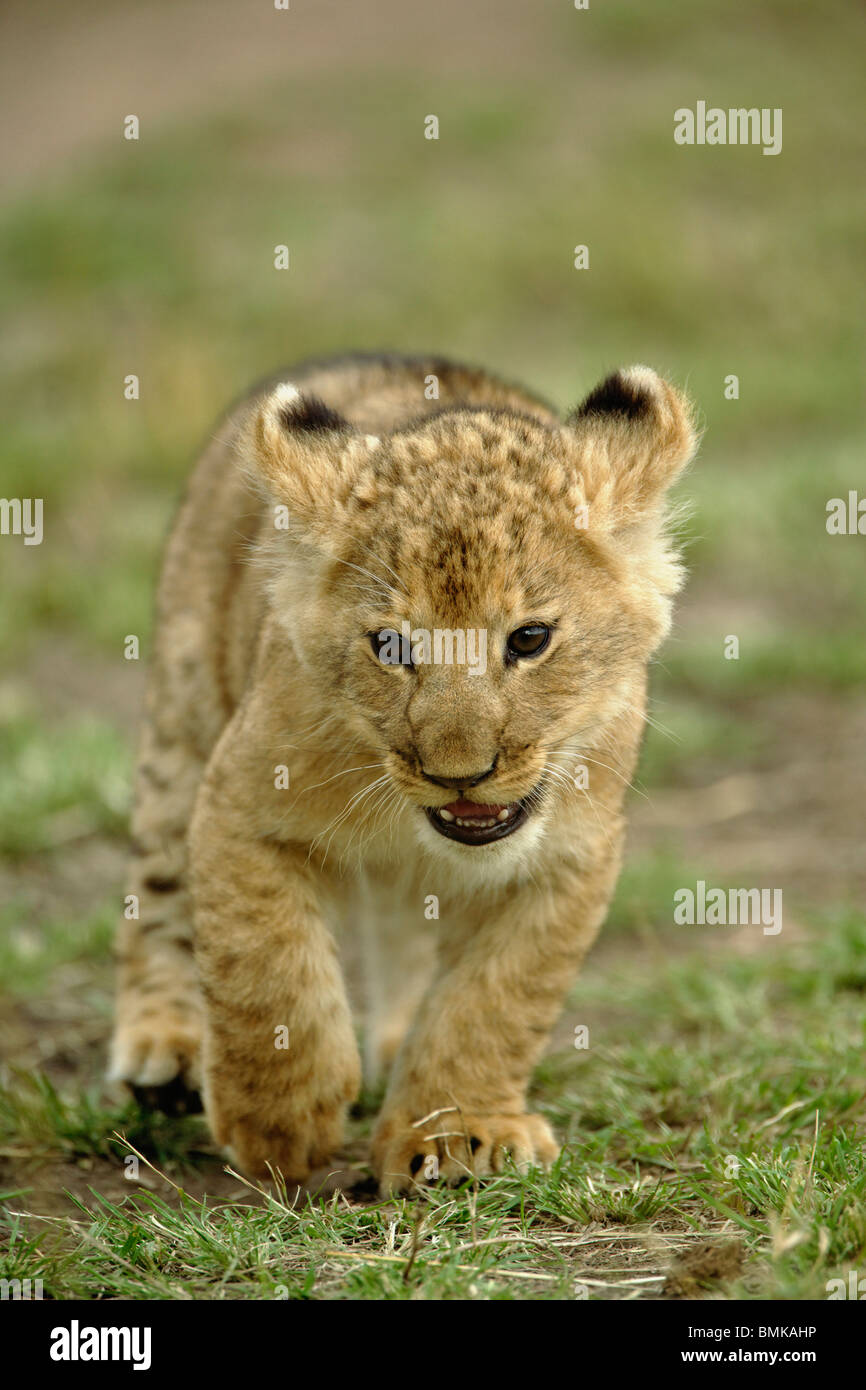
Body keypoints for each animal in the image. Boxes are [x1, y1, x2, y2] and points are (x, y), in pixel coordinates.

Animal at [108, 352, 697, 1192]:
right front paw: (278, 1124)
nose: (461, 773)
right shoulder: (239, 804)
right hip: (184, 716)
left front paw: (456, 1132)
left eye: (530, 639)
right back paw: (165, 1052)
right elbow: (263, 967)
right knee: (156, 891)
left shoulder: (572, 858)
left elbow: (497, 998)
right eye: (390, 646)